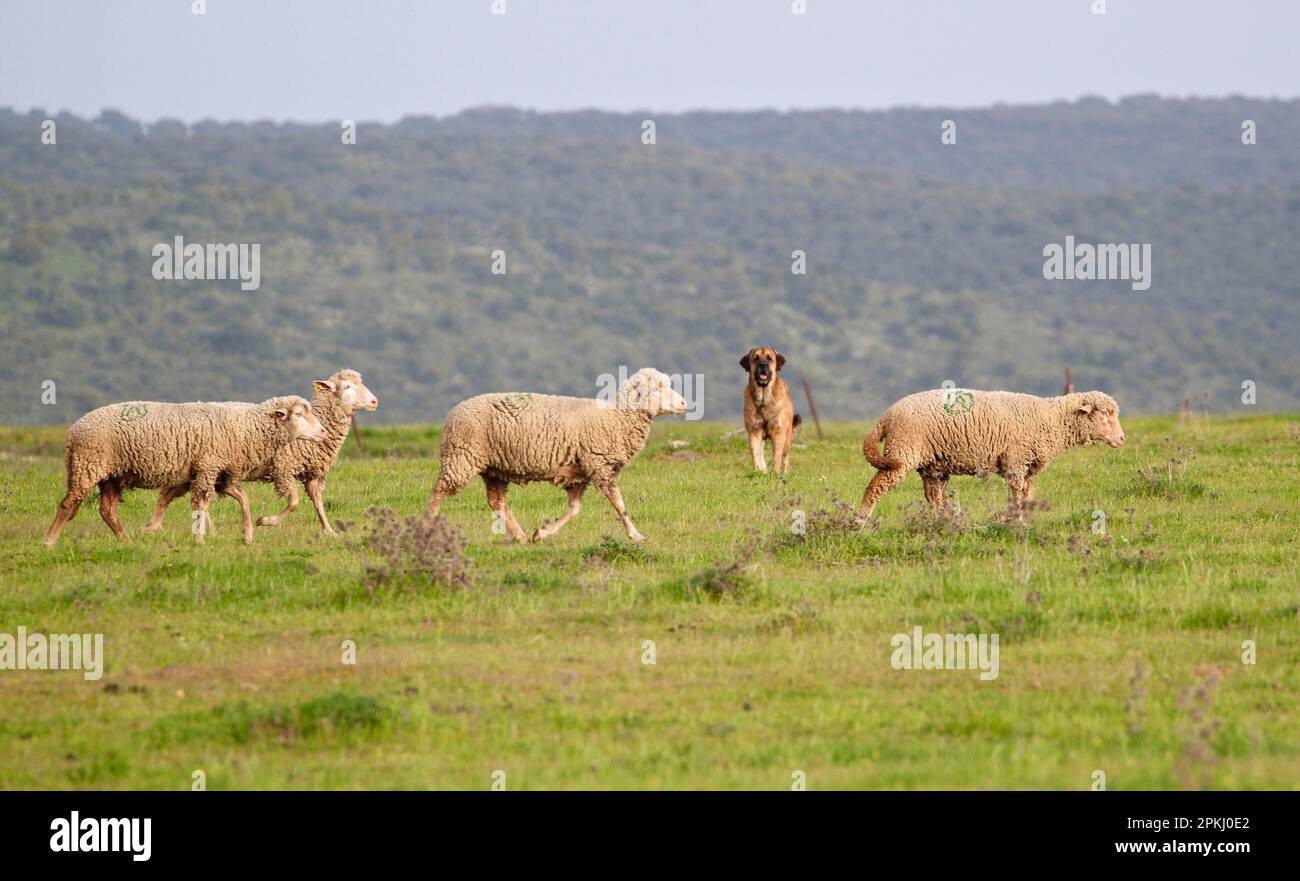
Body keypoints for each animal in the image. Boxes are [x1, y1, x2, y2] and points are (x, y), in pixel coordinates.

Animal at [43, 396, 327, 547]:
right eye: (298, 414)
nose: (323, 431)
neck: (246, 427)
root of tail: (73, 431)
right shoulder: (207, 467)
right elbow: (201, 505)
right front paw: (200, 539)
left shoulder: (218, 473)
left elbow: (242, 499)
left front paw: (249, 532)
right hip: (88, 465)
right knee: (68, 504)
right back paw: (49, 541)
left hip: (111, 475)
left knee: (107, 510)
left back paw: (126, 541)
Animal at [142, 369, 379, 536]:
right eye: (347, 386)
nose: (375, 401)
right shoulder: (284, 468)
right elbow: (294, 503)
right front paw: (265, 521)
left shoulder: (312, 474)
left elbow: (318, 502)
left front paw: (329, 531)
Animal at [424, 367, 688, 543]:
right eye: (657, 388)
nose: (685, 403)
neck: (616, 417)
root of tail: (452, 413)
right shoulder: (599, 465)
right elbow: (619, 504)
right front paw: (635, 534)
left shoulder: (580, 474)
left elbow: (574, 510)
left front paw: (542, 533)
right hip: (462, 457)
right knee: (438, 491)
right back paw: (426, 526)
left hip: (494, 468)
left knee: (496, 502)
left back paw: (521, 537)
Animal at [857, 389, 1126, 518]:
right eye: (1104, 414)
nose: (1122, 439)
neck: (1052, 418)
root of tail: (887, 416)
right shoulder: (1016, 460)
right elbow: (1016, 492)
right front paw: (1015, 518)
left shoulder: (1023, 464)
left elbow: (1028, 490)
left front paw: (1024, 513)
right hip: (903, 452)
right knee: (876, 487)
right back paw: (859, 522)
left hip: (932, 464)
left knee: (933, 495)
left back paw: (944, 520)